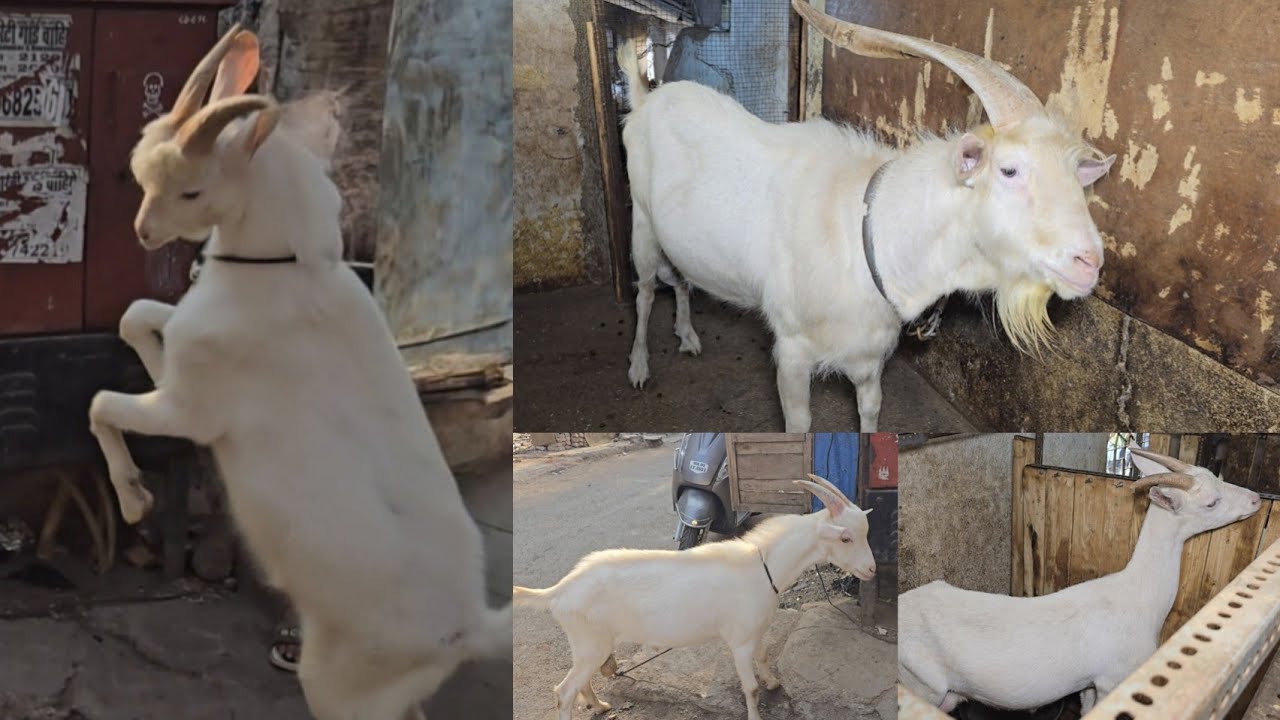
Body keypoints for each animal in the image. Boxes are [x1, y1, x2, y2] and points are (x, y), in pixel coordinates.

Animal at [86, 26, 510, 720]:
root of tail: (470, 629)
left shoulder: (191, 409)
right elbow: (136, 318)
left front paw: (134, 499)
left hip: (339, 689)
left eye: (192, 190)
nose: (144, 233)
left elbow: (101, 403)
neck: (283, 270)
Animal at [514, 474, 875, 720]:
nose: (871, 569)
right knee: (563, 692)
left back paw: (599, 704)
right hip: (591, 641)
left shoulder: (755, 631)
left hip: (591, 645)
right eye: (845, 538)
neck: (764, 566)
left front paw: (773, 683)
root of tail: (560, 590)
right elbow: (750, 687)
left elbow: (763, 658)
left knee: (580, 681)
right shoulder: (739, 641)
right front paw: (757, 709)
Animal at [619, 0, 1116, 431]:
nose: (1089, 263)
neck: (869, 235)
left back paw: (687, 336)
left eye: (1078, 180)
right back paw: (639, 366)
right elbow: (799, 425)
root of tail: (646, 100)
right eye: (1010, 169)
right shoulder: (792, 349)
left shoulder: (870, 354)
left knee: (680, 277)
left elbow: (872, 410)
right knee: (645, 290)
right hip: (640, 220)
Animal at [899, 446, 1262, 713]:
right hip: (923, 684)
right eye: (1211, 502)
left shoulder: (1090, 683)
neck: (1139, 597)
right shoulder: (1114, 677)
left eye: (1217, 476)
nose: (1256, 499)